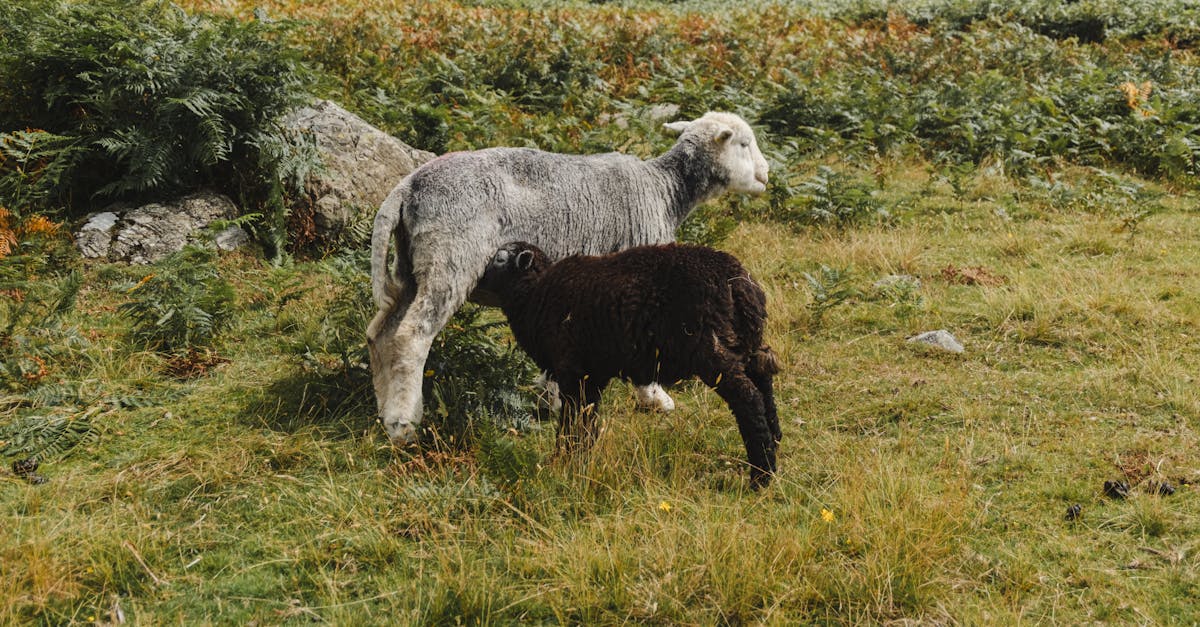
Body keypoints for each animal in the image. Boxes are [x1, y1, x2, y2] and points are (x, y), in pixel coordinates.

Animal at [480, 239, 787, 487]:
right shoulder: (592, 374)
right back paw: (775, 442)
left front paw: (563, 460)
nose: (477, 280)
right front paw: (581, 459)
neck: (535, 293)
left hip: (709, 350)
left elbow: (572, 420)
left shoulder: (572, 370)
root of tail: (739, 283)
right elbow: (588, 420)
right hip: (746, 343)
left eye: (499, 258)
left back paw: (761, 475)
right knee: (764, 385)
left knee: (748, 398)